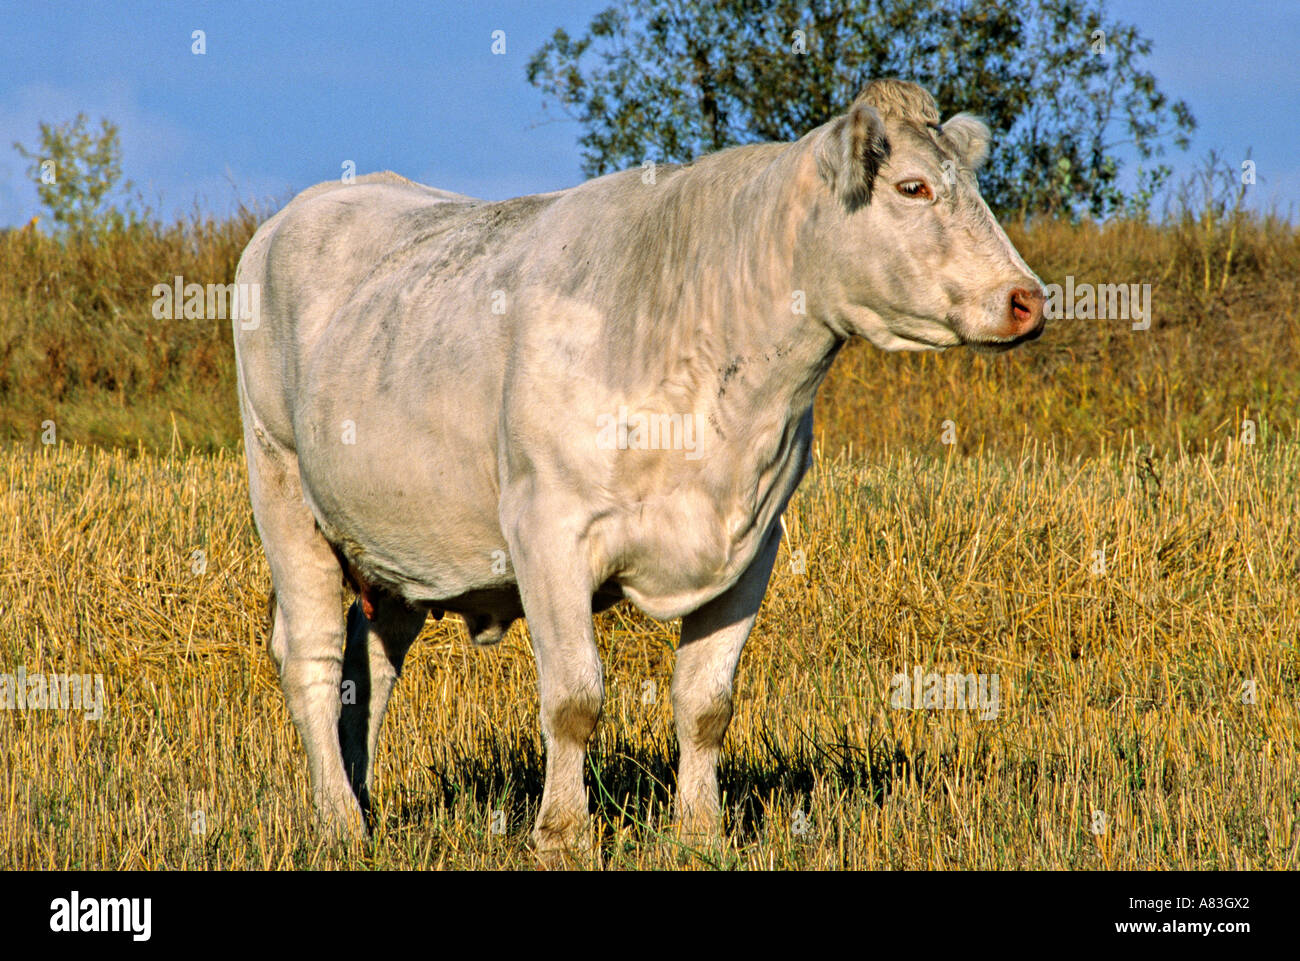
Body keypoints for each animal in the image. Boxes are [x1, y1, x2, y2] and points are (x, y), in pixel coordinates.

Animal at [232, 78, 1045, 862]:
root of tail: (299, 211)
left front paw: (702, 831)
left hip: (396, 544)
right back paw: (340, 822)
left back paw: (363, 807)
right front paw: (562, 834)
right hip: (280, 484)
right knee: (311, 658)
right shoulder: (547, 528)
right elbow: (574, 698)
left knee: (368, 671)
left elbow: (707, 702)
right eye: (912, 187)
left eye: (974, 183)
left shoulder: (753, 542)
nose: (1028, 299)